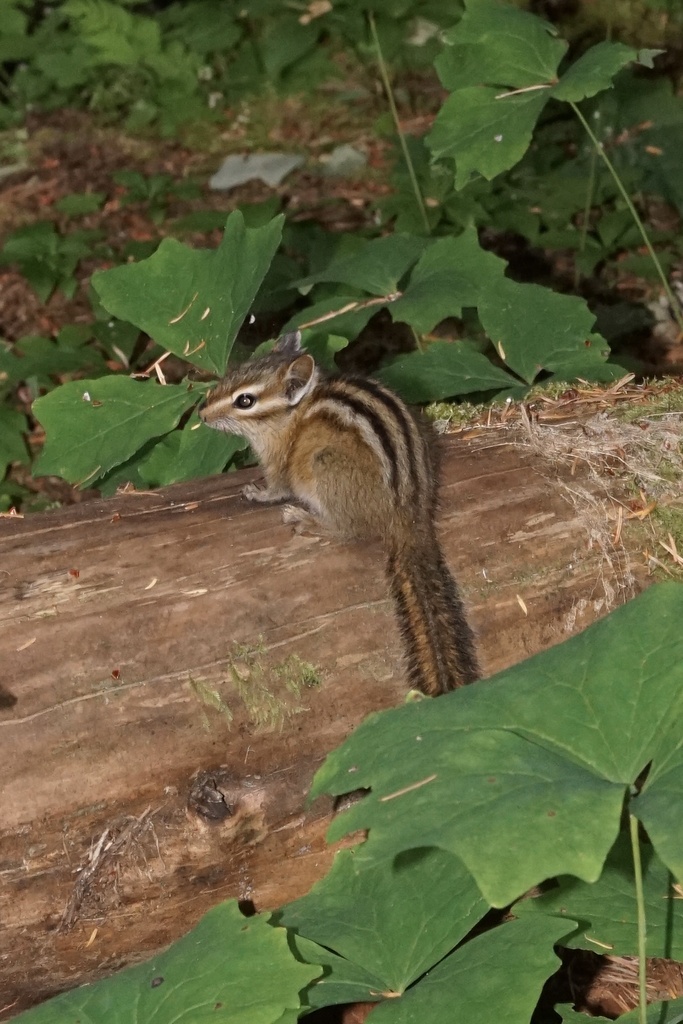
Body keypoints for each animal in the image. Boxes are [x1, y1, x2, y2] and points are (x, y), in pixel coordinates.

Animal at [200, 331, 480, 696]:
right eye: (236, 370)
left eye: (245, 401)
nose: (202, 414)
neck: (292, 415)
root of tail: (409, 513)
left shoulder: (279, 463)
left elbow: (276, 487)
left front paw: (257, 493)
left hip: (325, 467)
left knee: (349, 532)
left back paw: (308, 520)